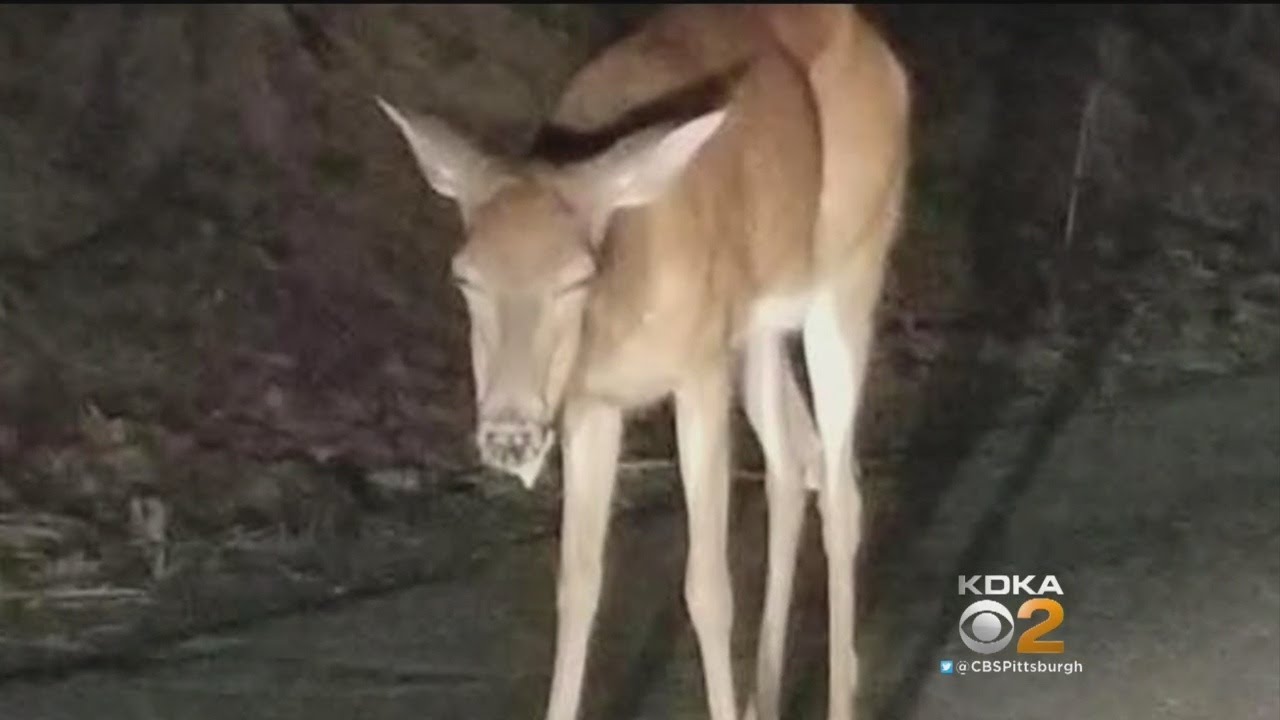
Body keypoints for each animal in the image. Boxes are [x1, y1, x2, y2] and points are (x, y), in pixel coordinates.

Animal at [376, 5, 910, 720]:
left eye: (576, 278)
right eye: (465, 277)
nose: (509, 433)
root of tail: (880, 52)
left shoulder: (697, 370)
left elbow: (708, 589)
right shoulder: (590, 402)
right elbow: (577, 585)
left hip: (851, 270)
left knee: (842, 487)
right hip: (757, 326)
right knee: (796, 462)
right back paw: (766, 698)